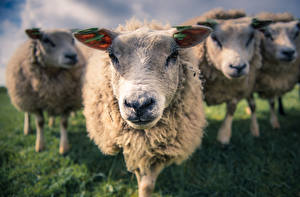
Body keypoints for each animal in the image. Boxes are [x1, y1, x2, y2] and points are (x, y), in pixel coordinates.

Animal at [74, 18, 212, 197]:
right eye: (112, 56)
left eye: (174, 55)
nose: (139, 104)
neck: (145, 136)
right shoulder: (134, 145)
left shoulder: (161, 149)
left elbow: (148, 184)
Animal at [182, 8, 270, 145]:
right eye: (214, 38)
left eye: (251, 37)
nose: (238, 67)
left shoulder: (236, 89)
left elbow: (231, 108)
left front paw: (224, 137)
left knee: (253, 105)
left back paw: (255, 130)